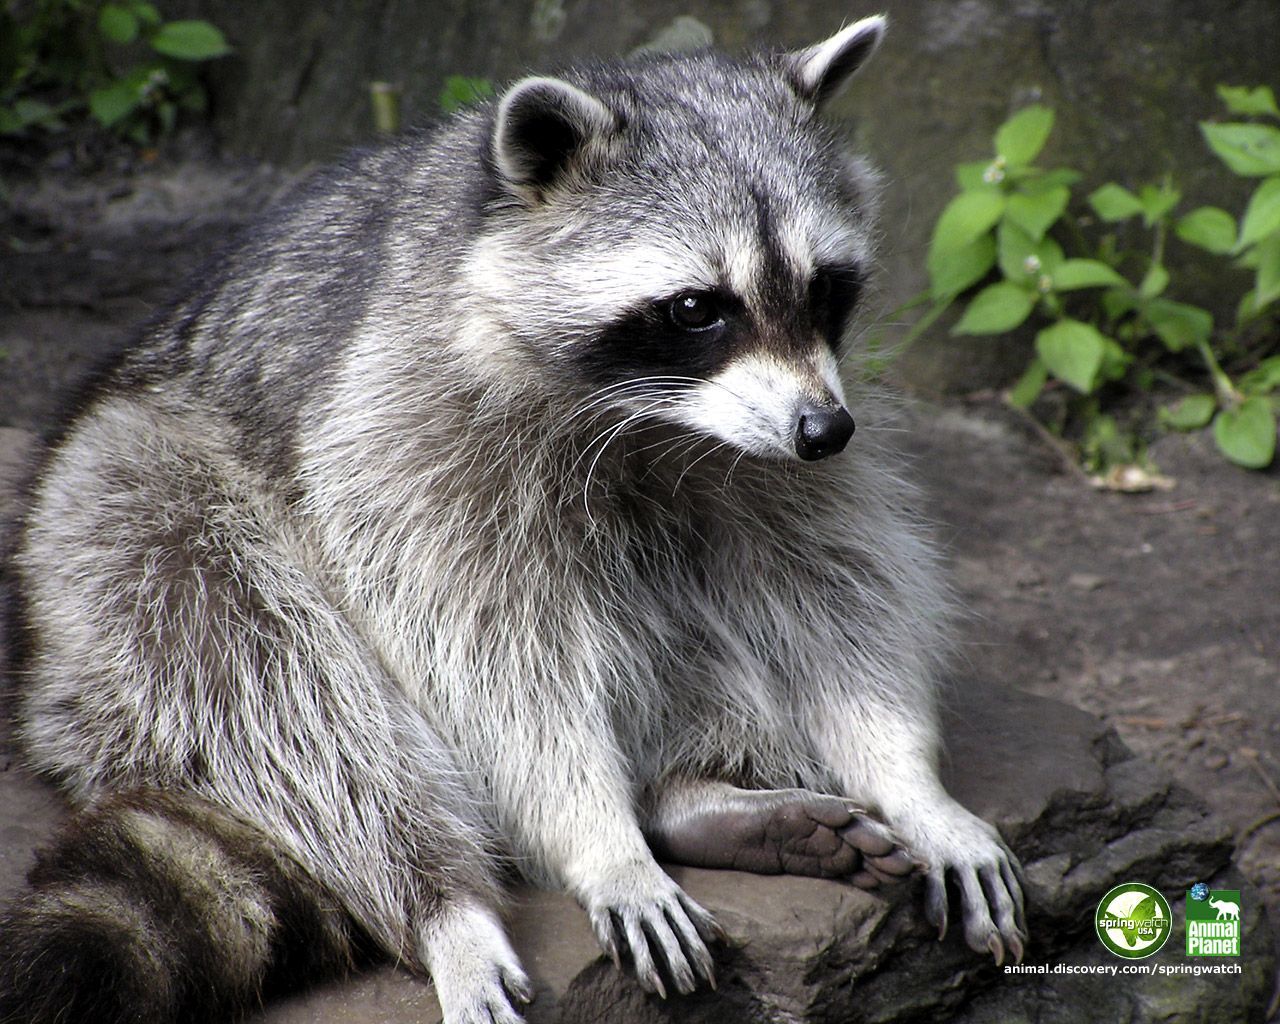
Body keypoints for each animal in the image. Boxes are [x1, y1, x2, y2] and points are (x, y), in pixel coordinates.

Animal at [1, 15, 1025, 1024]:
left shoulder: (787, 448)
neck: (656, 421)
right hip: (112, 515)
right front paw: (598, 838)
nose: (826, 432)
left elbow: (832, 588)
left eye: (824, 288)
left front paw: (909, 780)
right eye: (698, 308)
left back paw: (686, 792)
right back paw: (446, 900)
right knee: (261, 673)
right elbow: (489, 663)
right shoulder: (407, 428)